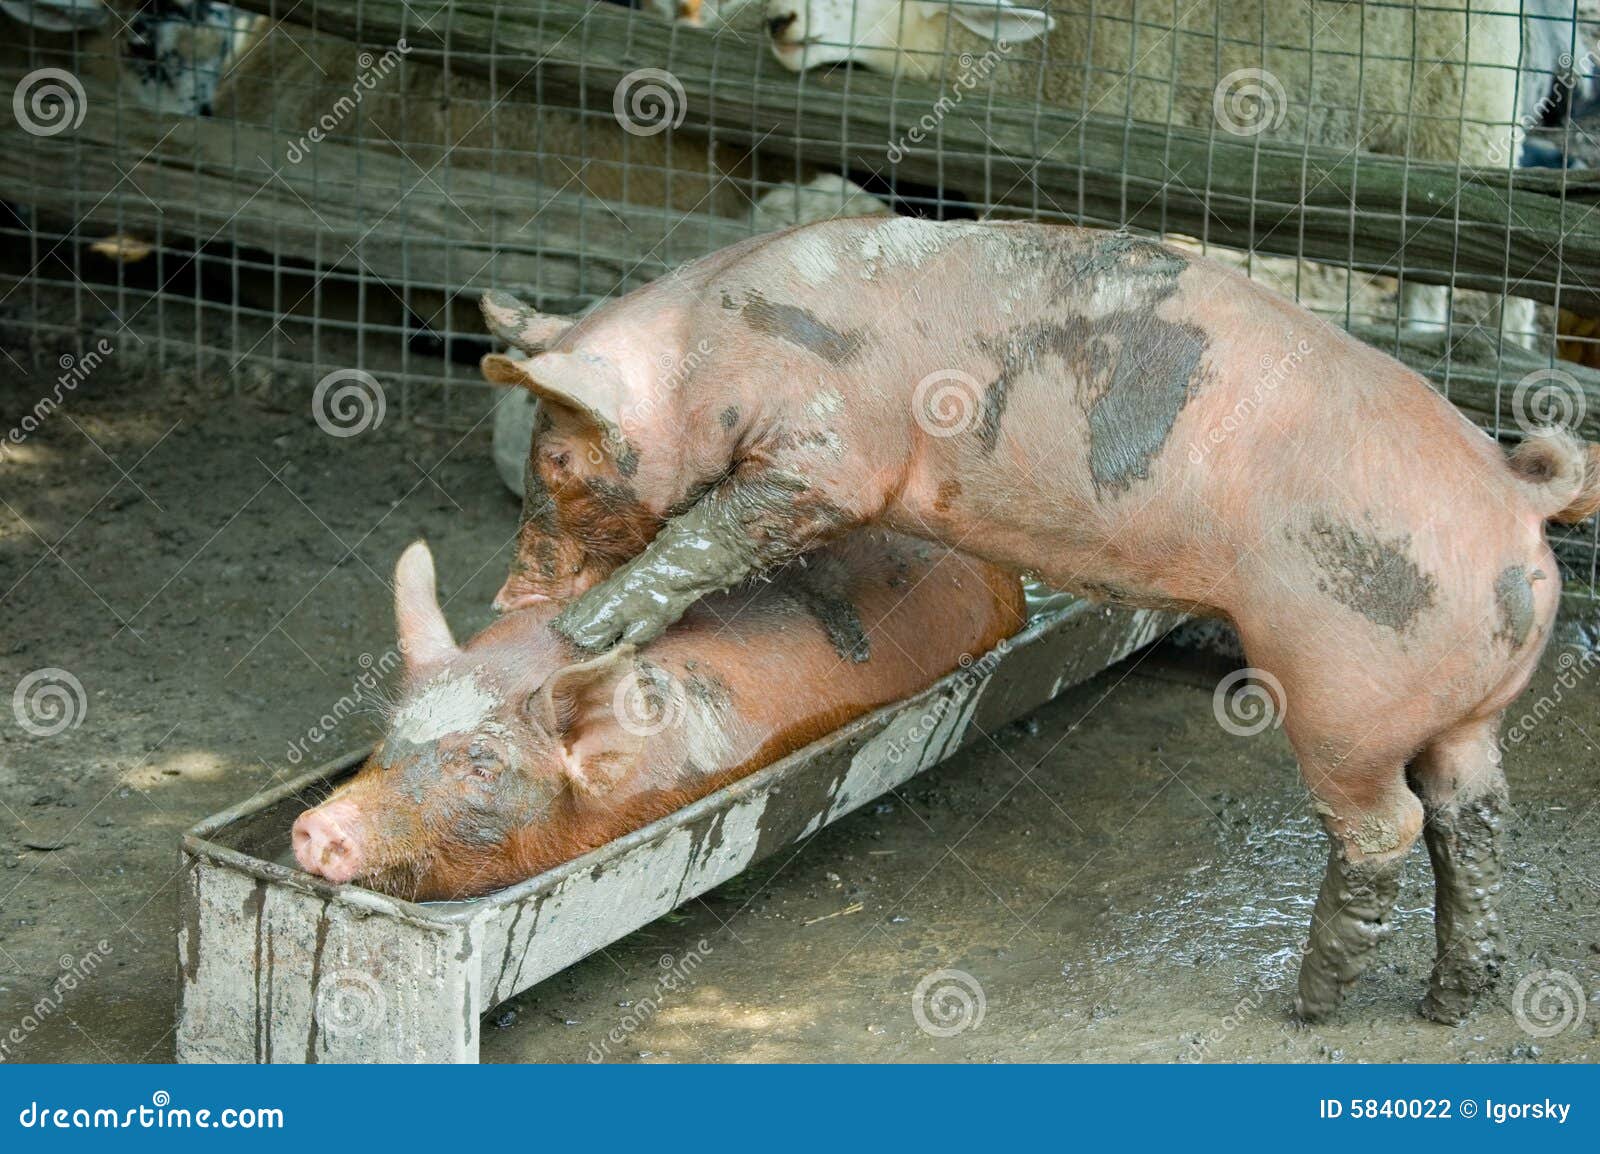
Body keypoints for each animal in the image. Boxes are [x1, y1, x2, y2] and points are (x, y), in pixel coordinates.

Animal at [478, 216, 1600, 1023]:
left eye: (560, 459)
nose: (508, 602)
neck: (700, 352)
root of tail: (1514, 492)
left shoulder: (823, 451)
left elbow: (719, 527)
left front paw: (587, 631)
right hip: (1468, 704)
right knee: (1474, 814)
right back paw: (1453, 999)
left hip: (1344, 680)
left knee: (1386, 825)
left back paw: (1308, 1004)